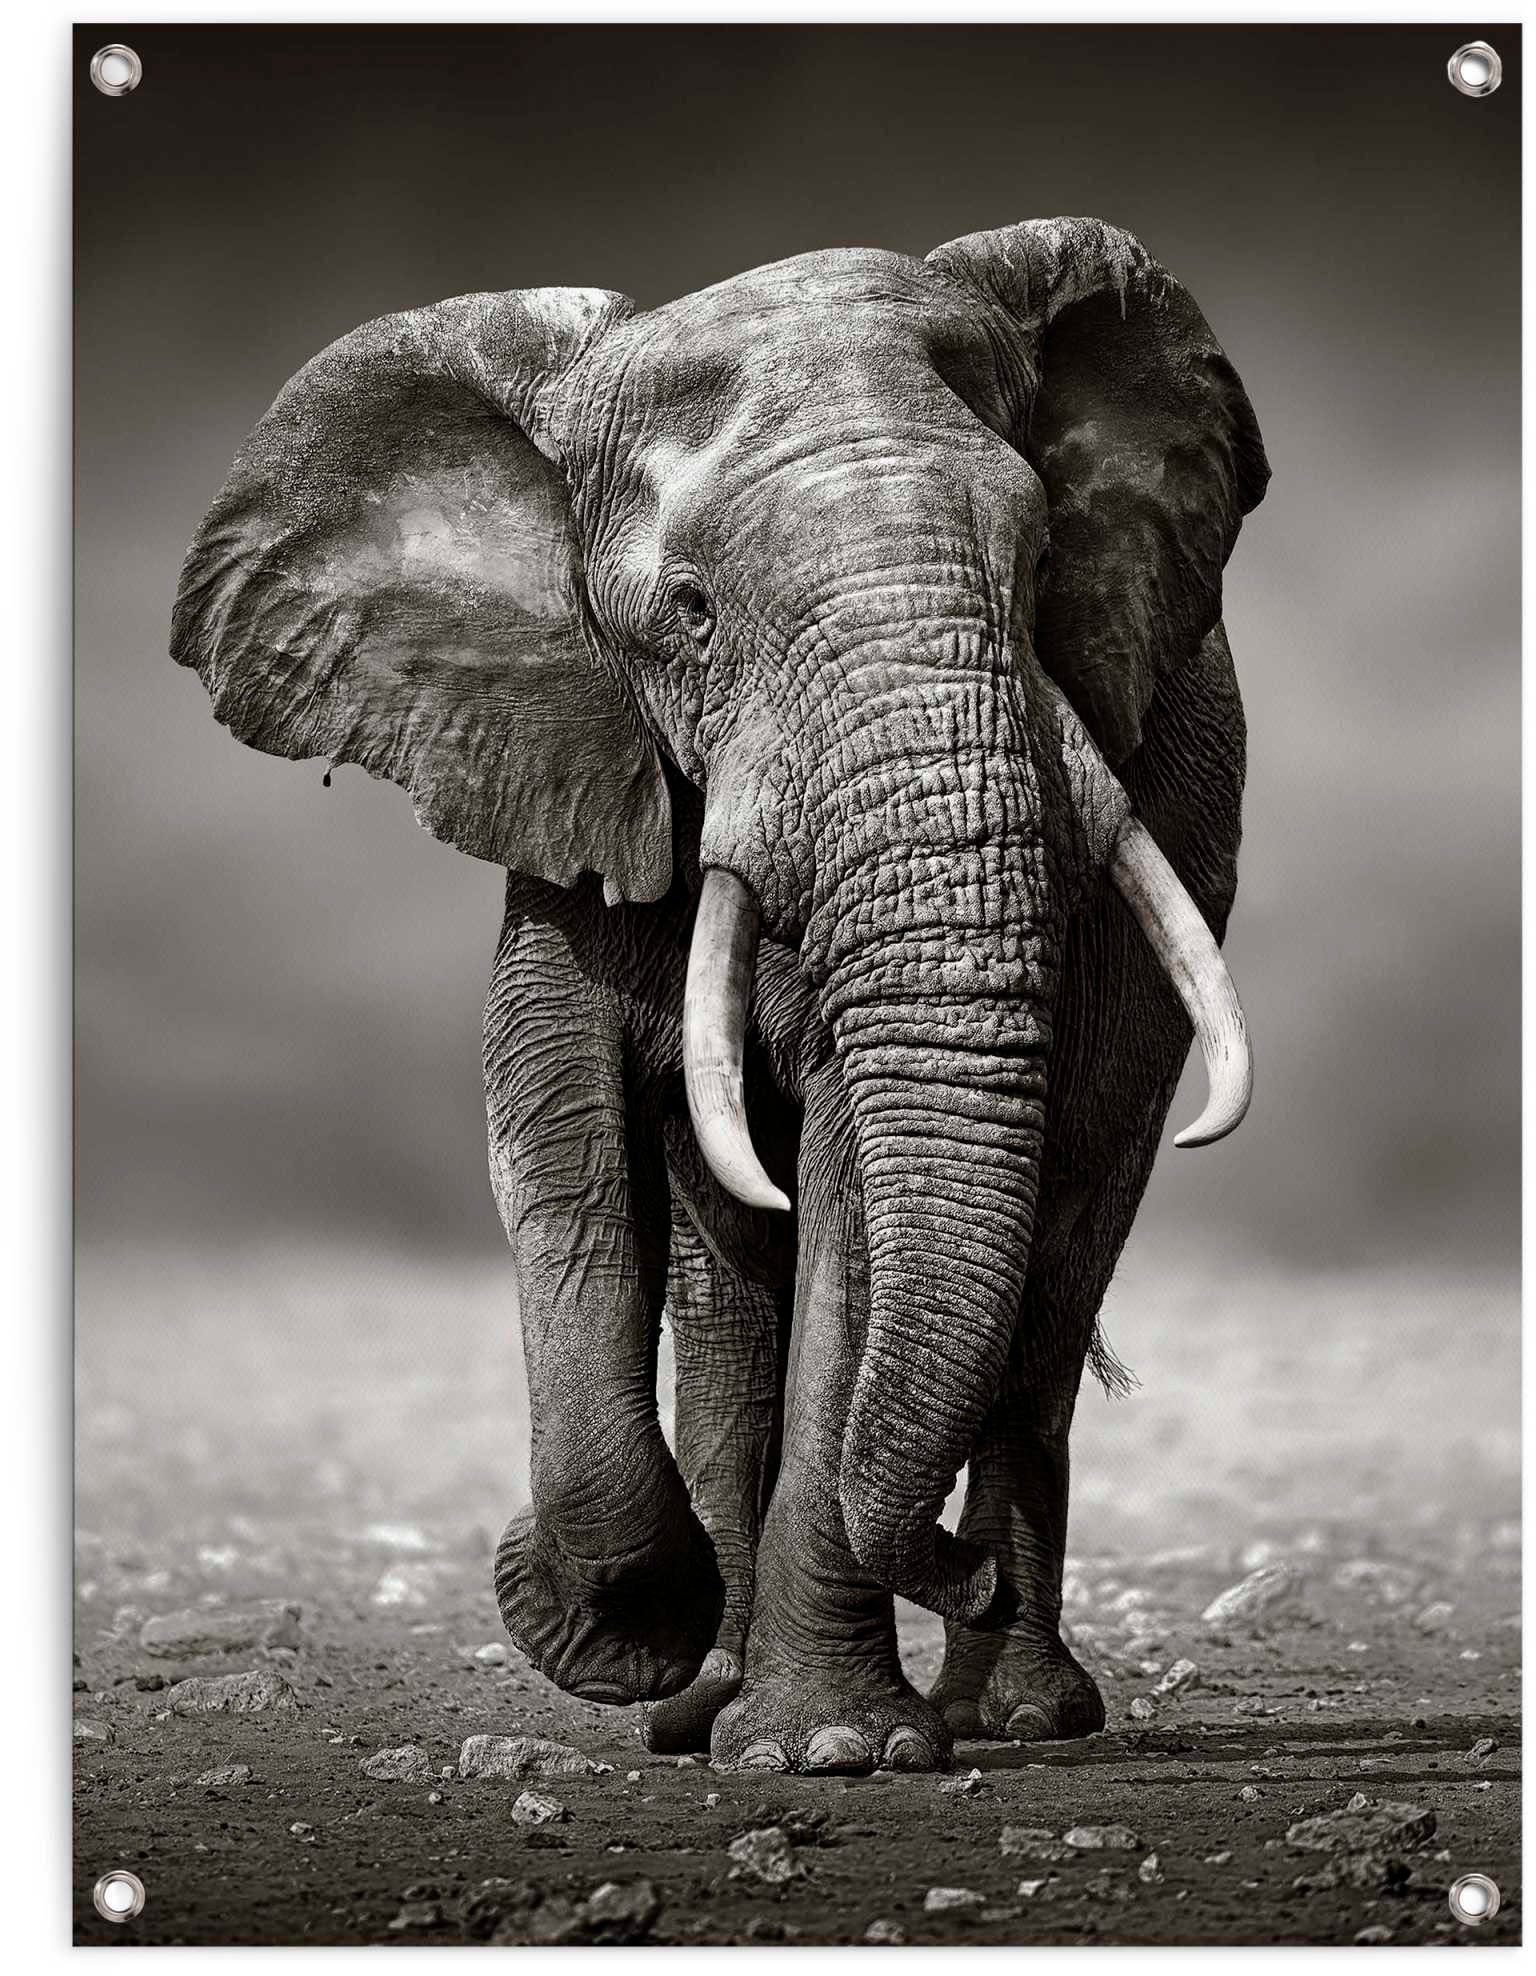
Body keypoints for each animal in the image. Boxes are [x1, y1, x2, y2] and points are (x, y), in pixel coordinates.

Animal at [171, 216, 1268, 1775]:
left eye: (1045, 557)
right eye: (687, 616)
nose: (953, 1568)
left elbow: (857, 1192)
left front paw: (835, 1748)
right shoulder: (567, 762)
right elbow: (555, 1143)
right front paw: (621, 1629)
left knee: (1058, 1260)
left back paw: (1011, 1712)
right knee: (735, 1290)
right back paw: (709, 1700)